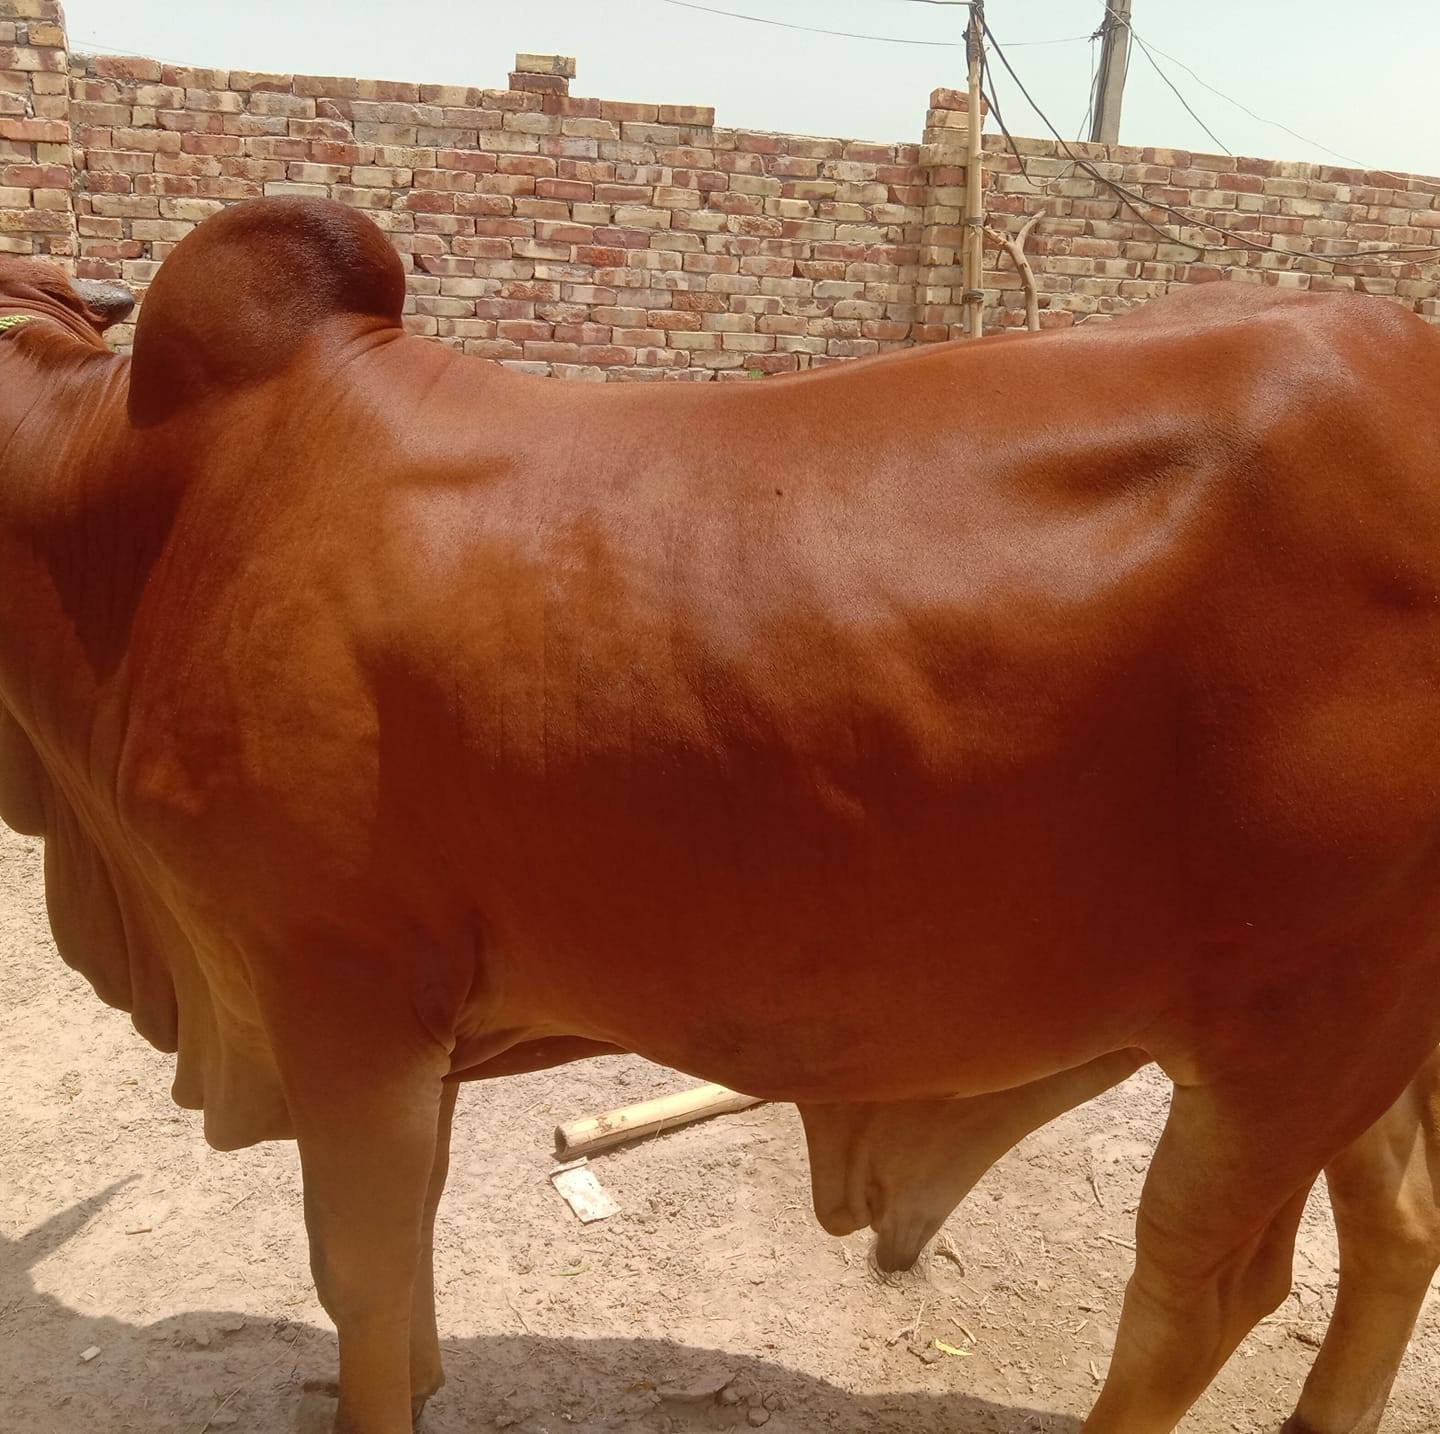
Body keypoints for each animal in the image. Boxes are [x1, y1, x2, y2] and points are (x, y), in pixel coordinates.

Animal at [2, 196, 1438, 1434]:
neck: (145, 508)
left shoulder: (338, 990)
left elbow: (355, 1257)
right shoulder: (419, 1018)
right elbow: (410, 1230)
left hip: (1287, 1041)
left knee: (1204, 1289)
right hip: (1353, 1030)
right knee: (1399, 1220)